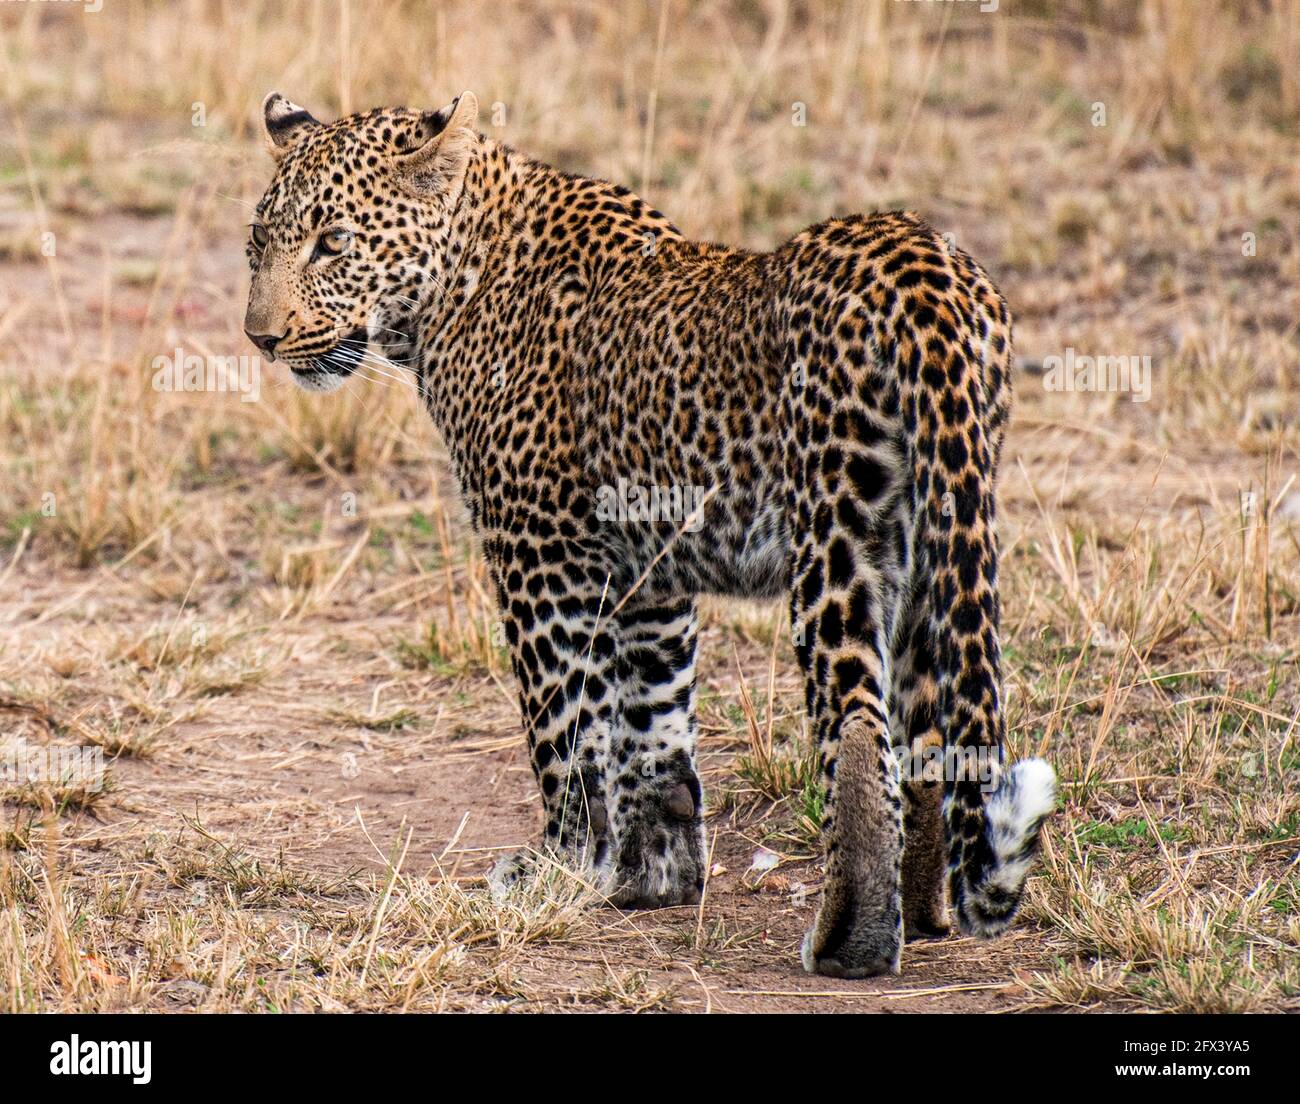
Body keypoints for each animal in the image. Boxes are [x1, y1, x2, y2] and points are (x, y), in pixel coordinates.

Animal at [243, 89, 1056, 978]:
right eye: (258, 243)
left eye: (333, 242)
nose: (262, 337)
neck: (450, 287)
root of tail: (922, 265)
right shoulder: (647, 570)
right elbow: (651, 725)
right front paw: (654, 876)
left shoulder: (539, 552)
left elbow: (563, 728)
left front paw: (561, 865)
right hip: (938, 527)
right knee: (928, 724)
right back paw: (925, 908)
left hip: (839, 537)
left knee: (855, 719)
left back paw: (853, 940)